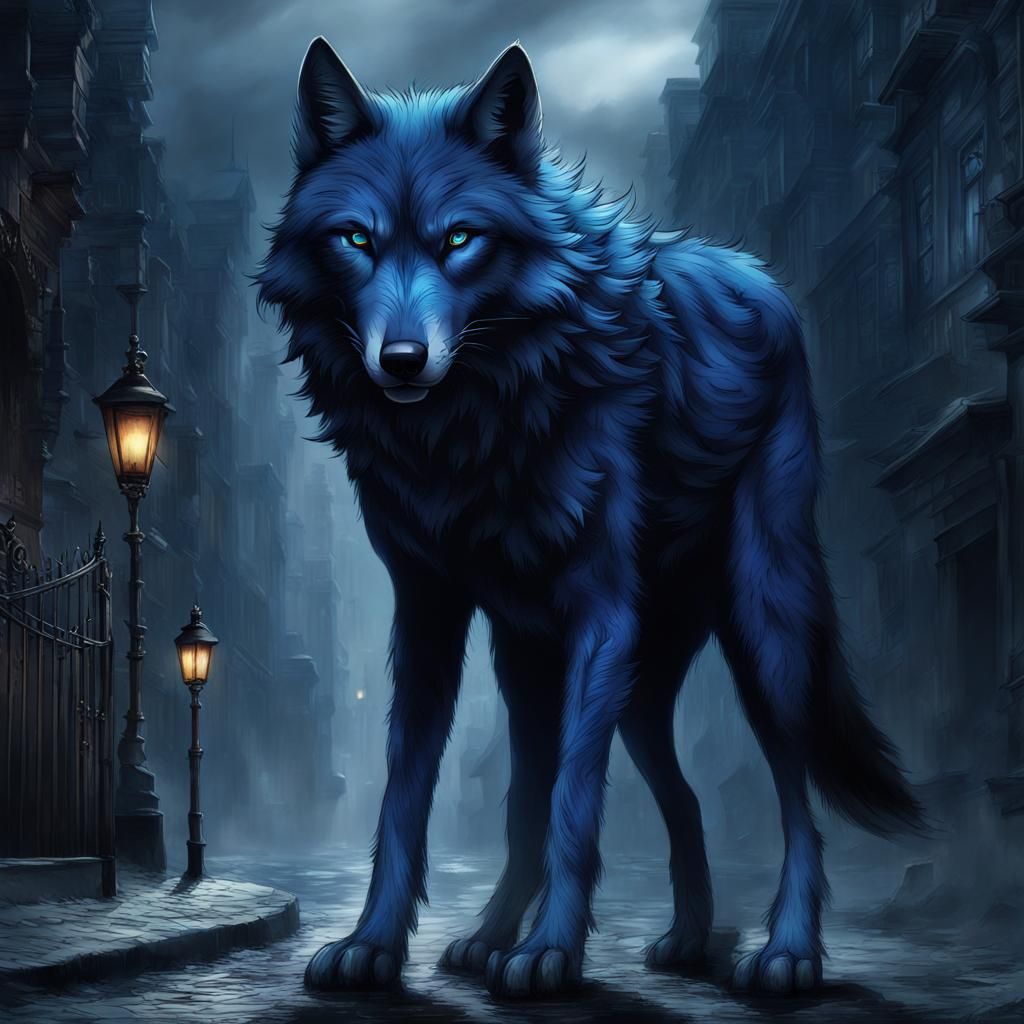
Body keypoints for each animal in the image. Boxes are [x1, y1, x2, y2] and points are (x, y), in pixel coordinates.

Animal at [258, 38, 925, 999]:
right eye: (356, 239)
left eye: (460, 239)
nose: (403, 359)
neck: (476, 424)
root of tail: (761, 280)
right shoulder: (429, 616)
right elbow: (412, 801)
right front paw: (376, 944)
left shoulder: (599, 616)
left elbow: (574, 804)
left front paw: (549, 954)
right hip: (589, 675)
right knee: (664, 798)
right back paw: (642, 938)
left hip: (760, 639)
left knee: (796, 798)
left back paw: (787, 952)